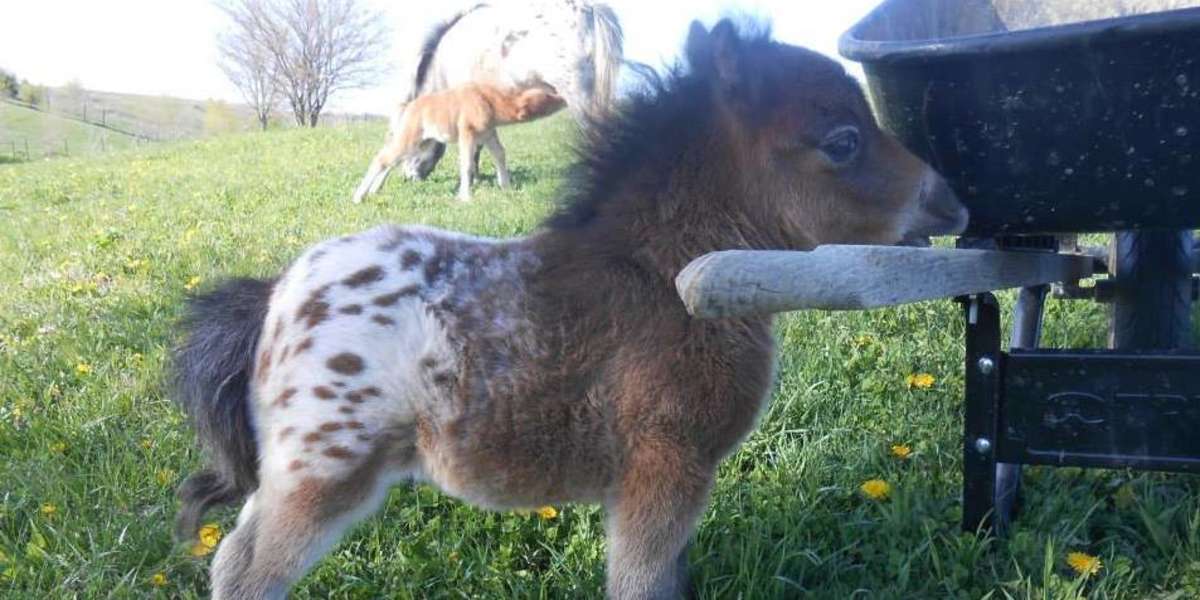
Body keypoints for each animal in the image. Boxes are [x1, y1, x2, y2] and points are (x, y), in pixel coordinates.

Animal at [352, 84, 564, 203]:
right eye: (547, 95)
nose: (562, 97)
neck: (488, 100)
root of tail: (409, 106)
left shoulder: (488, 134)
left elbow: (500, 154)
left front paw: (506, 188)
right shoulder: (467, 134)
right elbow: (467, 165)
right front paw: (465, 197)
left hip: (420, 143)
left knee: (392, 161)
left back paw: (373, 190)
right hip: (409, 139)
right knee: (382, 159)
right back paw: (358, 197)